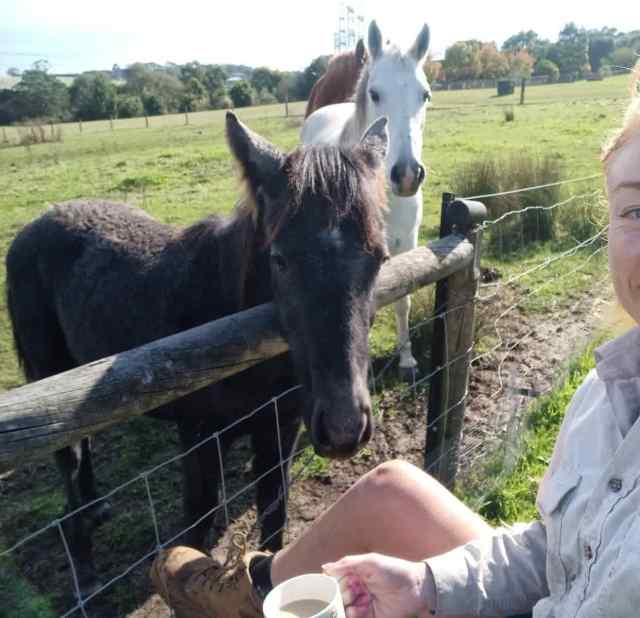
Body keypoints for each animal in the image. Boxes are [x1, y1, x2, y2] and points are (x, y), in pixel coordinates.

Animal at [5, 112, 390, 597]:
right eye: (280, 259)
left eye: (379, 257)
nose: (343, 429)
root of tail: (33, 226)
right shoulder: (199, 439)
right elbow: (198, 527)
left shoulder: (280, 430)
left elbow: (274, 514)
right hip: (50, 374)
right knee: (68, 456)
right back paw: (85, 568)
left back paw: (95, 508)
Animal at [302, 20, 431, 380]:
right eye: (375, 93)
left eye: (425, 94)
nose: (407, 174)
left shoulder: (407, 246)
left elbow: (403, 299)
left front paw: (407, 361)